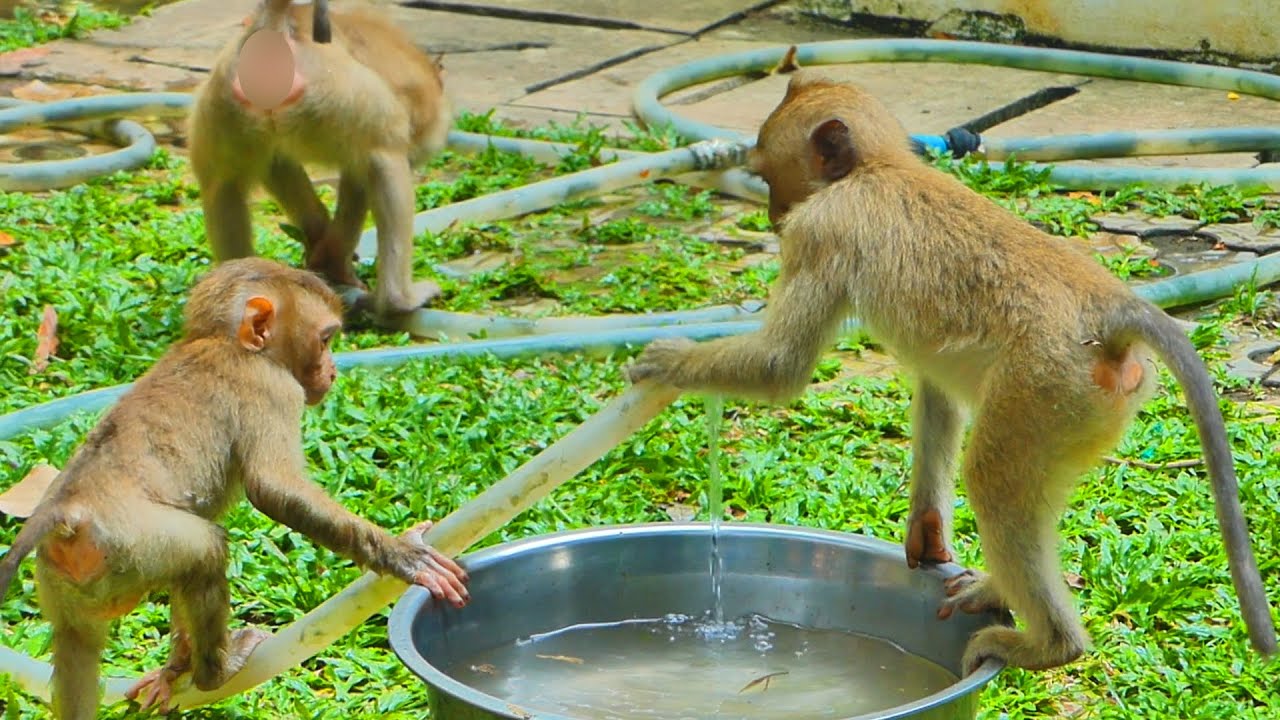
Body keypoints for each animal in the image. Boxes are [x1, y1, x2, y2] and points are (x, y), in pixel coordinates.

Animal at [0, 258, 470, 718]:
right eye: (325, 339)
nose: (334, 372)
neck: (225, 343)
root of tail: (67, 511)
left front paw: (172, 671)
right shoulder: (273, 387)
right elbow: (273, 489)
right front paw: (406, 555)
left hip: (62, 583)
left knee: (77, 641)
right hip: (134, 543)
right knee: (204, 549)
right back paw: (216, 673)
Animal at [188, 0, 451, 321]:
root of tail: (277, 29)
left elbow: (279, 164)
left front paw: (322, 250)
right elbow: (363, 174)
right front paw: (333, 262)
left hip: (225, 98)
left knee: (223, 186)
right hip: (339, 90)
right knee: (385, 156)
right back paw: (399, 300)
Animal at [627, 70, 1278, 674]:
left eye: (765, 175)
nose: (772, 214)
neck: (880, 167)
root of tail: (1107, 310)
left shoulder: (823, 230)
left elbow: (779, 365)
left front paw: (668, 362)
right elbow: (938, 391)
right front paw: (927, 527)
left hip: (1043, 386)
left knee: (993, 479)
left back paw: (1051, 646)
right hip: (1079, 408)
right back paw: (1001, 592)